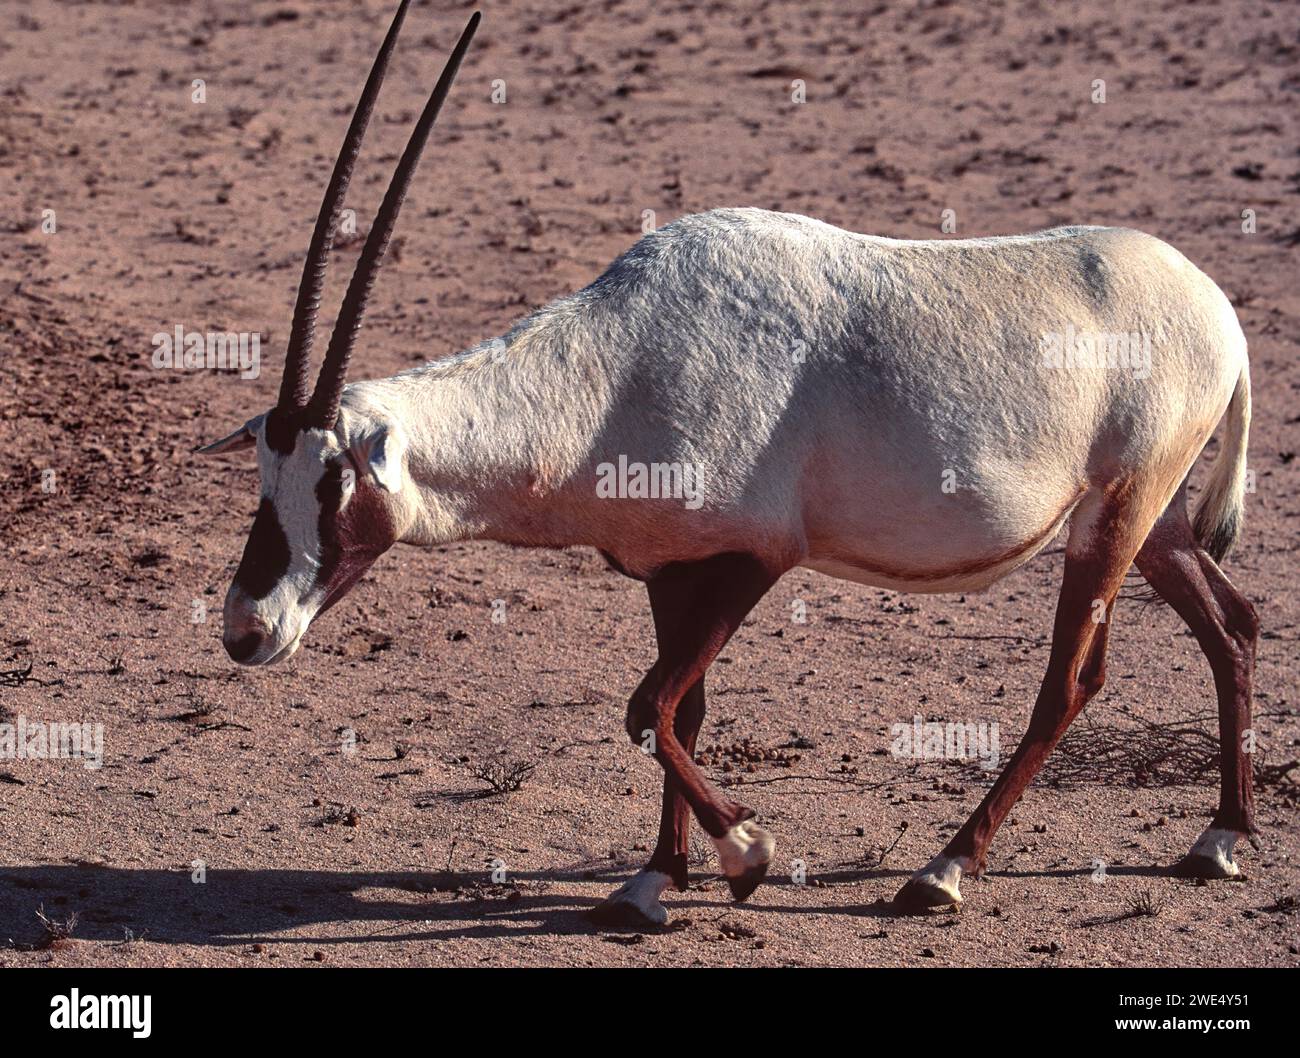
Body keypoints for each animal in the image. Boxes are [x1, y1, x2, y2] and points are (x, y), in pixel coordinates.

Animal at [200, 4, 1259, 925]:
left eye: (334, 482)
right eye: (264, 476)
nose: (246, 631)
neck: (609, 371)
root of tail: (1215, 305)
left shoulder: (754, 560)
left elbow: (647, 708)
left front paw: (744, 853)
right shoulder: (673, 571)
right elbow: (682, 710)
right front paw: (650, 883)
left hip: (1114, 518)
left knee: (1069, 683)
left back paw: (944, 871)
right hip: (1152, 521)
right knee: (1233, 627)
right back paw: (1218, 839)